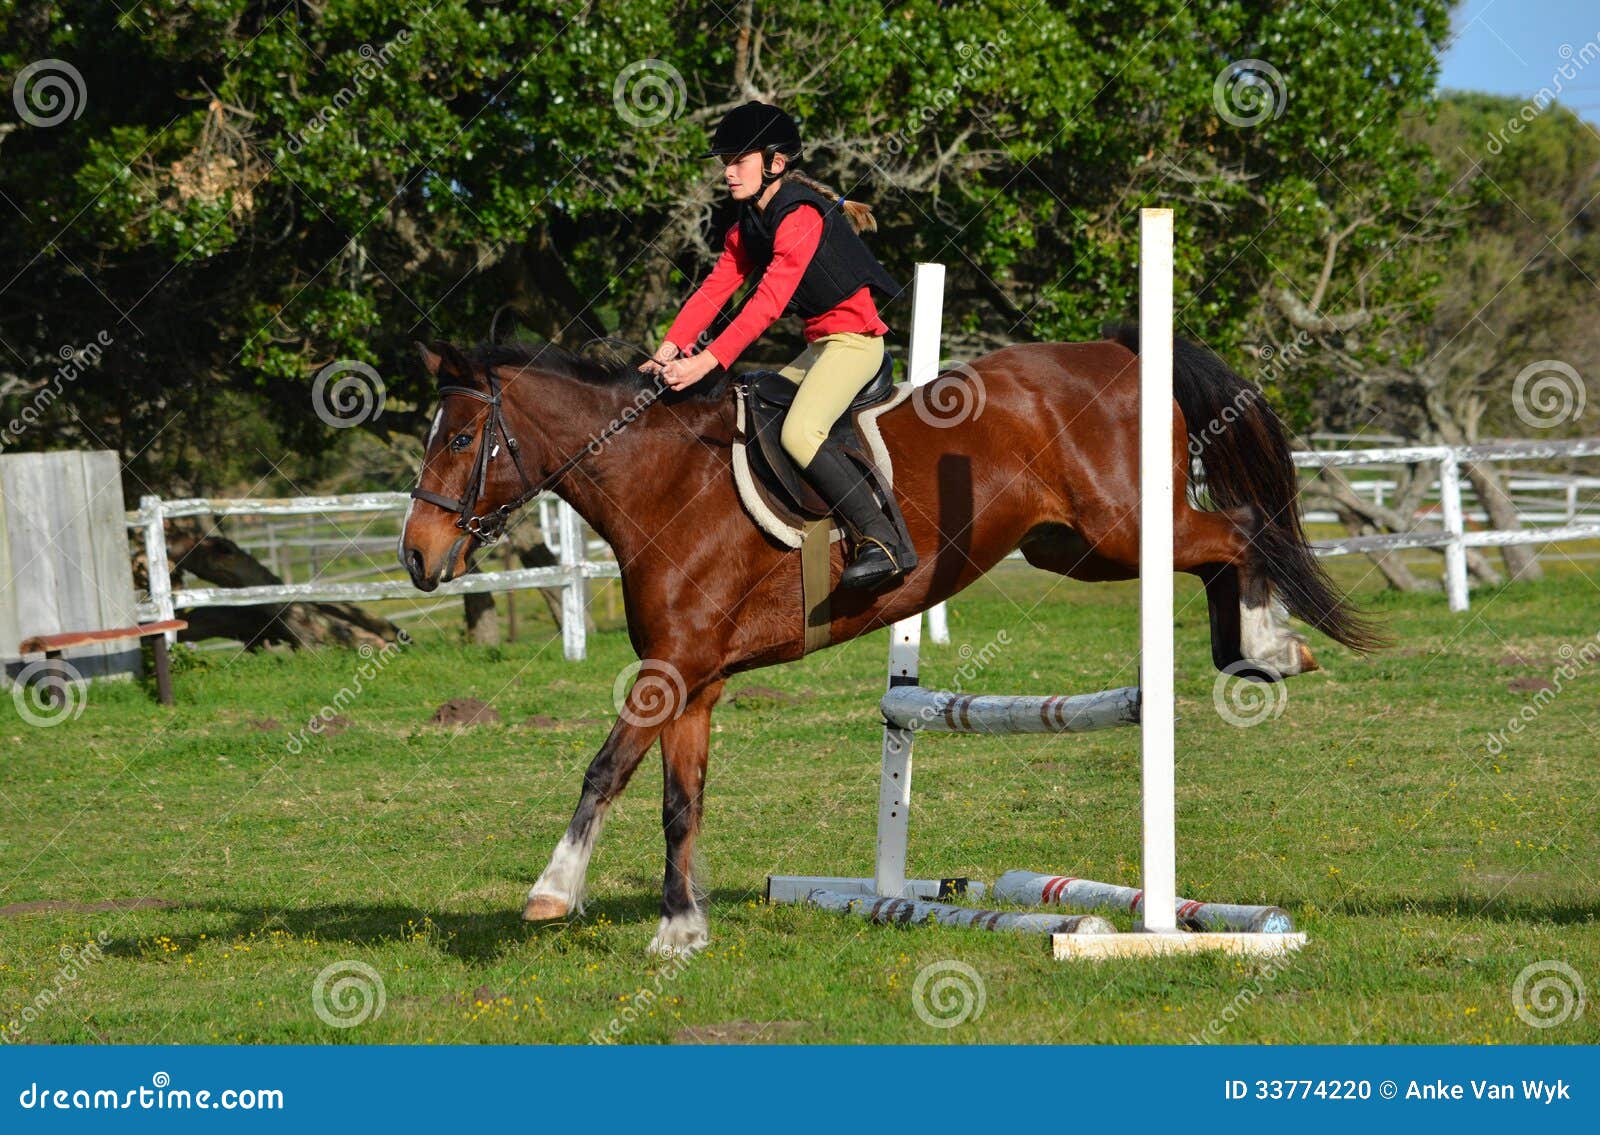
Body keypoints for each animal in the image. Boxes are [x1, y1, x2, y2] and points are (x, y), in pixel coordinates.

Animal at [399, 329, 1382, 955]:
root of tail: (1121, 351)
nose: (417, 556)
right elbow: (681, 799)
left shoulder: (670, 669)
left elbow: (604, 768)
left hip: (1129, 527)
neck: (664, 479)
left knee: (1241, 530)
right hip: (1076, 547)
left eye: (462, 436)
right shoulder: (696, 679)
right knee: (1226, 540)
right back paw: (1259, 648)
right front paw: (681, 929)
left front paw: (552, 892)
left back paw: (1270, 645)